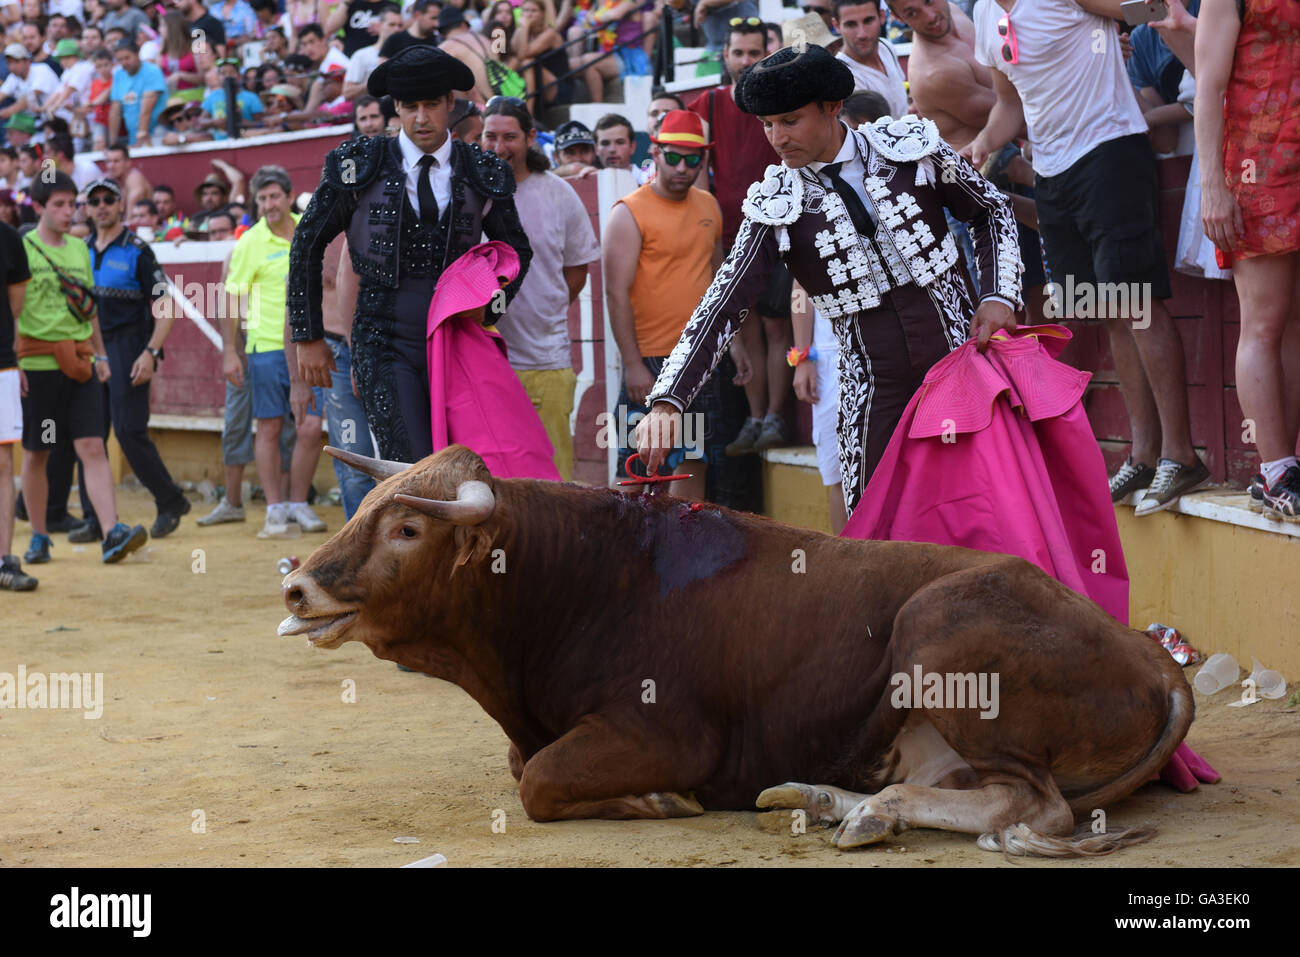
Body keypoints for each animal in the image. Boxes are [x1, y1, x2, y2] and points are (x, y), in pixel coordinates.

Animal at [279, 445, 1195, 855]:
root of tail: (1152, 654)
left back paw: (868, 812)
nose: (297, 588)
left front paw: (656, 801)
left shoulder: (665, 733)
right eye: (373, 506)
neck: (578, 579)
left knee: (1035, 806)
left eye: (406, 528)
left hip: (936, 636)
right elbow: (522, 765)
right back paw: (829, 799)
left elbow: (537, 778)